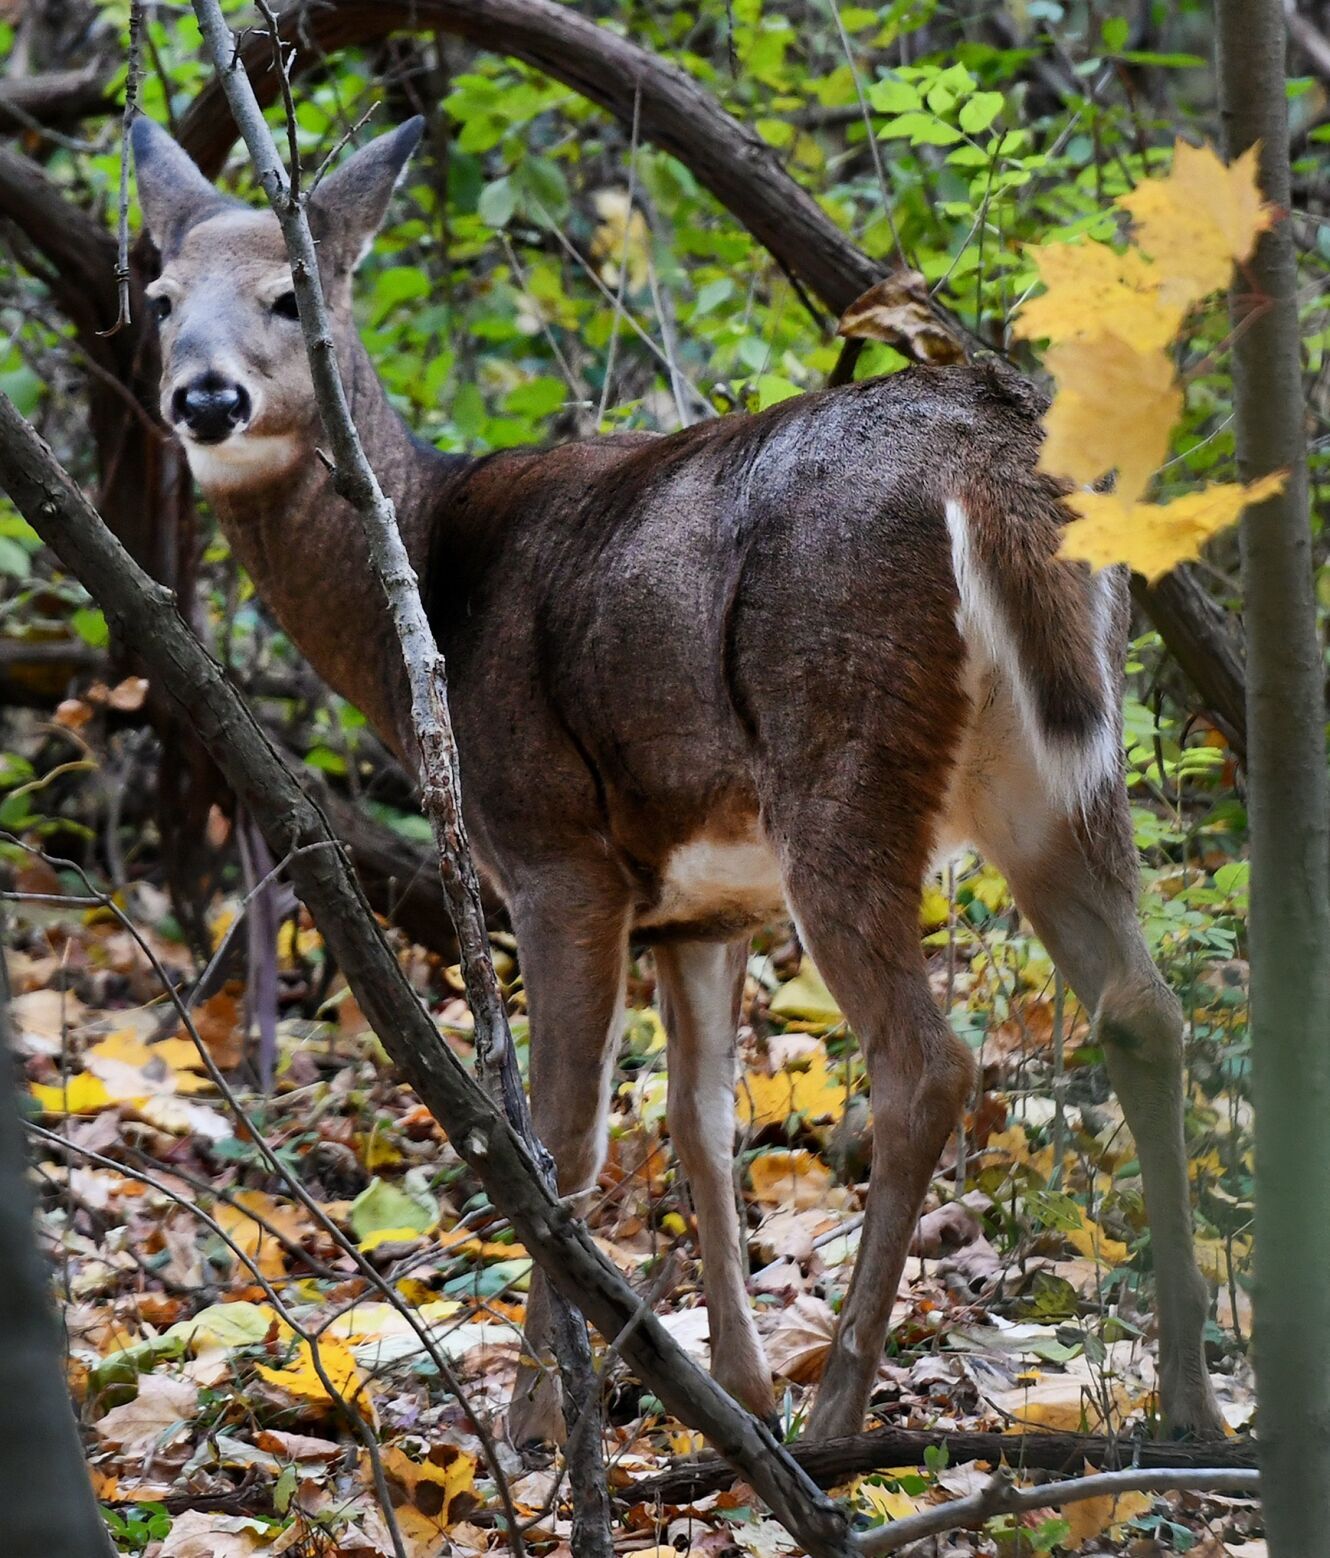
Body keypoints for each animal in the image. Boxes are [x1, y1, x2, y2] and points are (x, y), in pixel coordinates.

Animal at [131, 112, 1225, 1447]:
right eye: (161, 295)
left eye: (292, 295)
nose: (205, 397)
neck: (430, 569)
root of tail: (990, 455)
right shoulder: (703, 909)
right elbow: (703, 1128)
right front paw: (735, 1393)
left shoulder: (554, 852)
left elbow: (560, 1141)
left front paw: (542, 1426)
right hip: (1054, 775)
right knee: (1142, 1010)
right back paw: (1190, 1411)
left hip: (843, 749)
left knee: (926, 1063)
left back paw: (839, 1420)